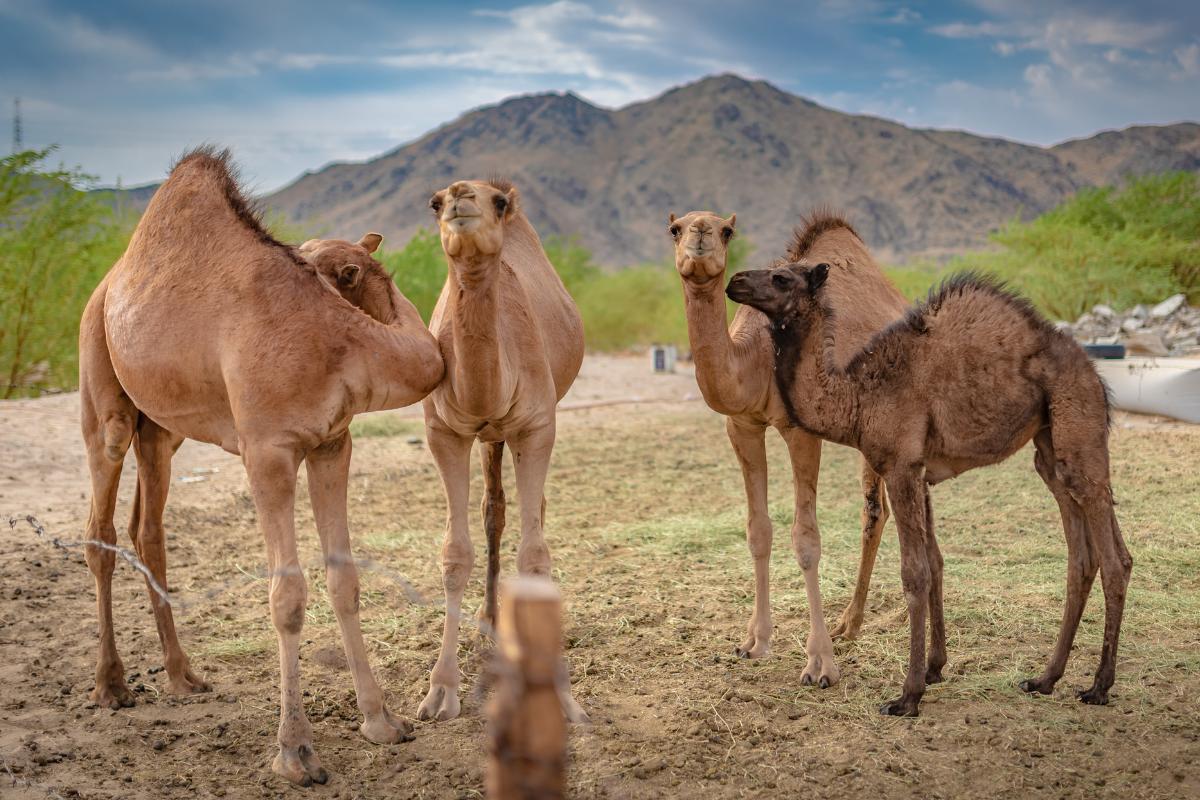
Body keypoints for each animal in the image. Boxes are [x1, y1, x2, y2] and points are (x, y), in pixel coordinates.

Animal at [79, 148, 444, 785]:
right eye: (341, 270)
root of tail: (106, 285)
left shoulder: (331, 444)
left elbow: (345, 579)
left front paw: (382, 722)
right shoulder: (267, 451)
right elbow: (287, 595)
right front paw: (296, 752)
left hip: (164, 430)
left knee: (147, 527)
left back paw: (183, 676)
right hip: (102, 392)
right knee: (101, 524)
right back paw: (110, 686)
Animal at [418, 179, 586, 723]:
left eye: (499, 202)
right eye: (434, 202)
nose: (459, 195)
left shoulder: (536, 427)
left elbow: (534, 554)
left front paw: (562, 696)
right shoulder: (444, 432)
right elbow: (455, 553)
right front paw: (440, 691)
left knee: (530, 513)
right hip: (489, 437)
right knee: (494, 510)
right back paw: (490, 617)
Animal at [667, 210, 906, 686]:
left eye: (727, 230)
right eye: (675, 228)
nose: (700, 234)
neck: (756, 354)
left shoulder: (800, 430)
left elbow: (806, 538)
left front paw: (820, 665)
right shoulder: (742, 425)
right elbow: (758, 530)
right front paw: (754, 643)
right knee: (878, 510)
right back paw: (851, 624)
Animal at [726, 261, 1132, 716]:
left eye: (781, 278)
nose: (735, 281)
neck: (857, 397)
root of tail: (1094, 374)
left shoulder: (901, 467)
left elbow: (914, 572)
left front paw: (908, 694)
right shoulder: (918, 470)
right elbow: (935, 562)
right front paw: (935, 668)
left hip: (1079, 431)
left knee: (1115, 560)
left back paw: (1098, 686)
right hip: (1050, 450)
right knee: (1082, 557)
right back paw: (1044, 679)